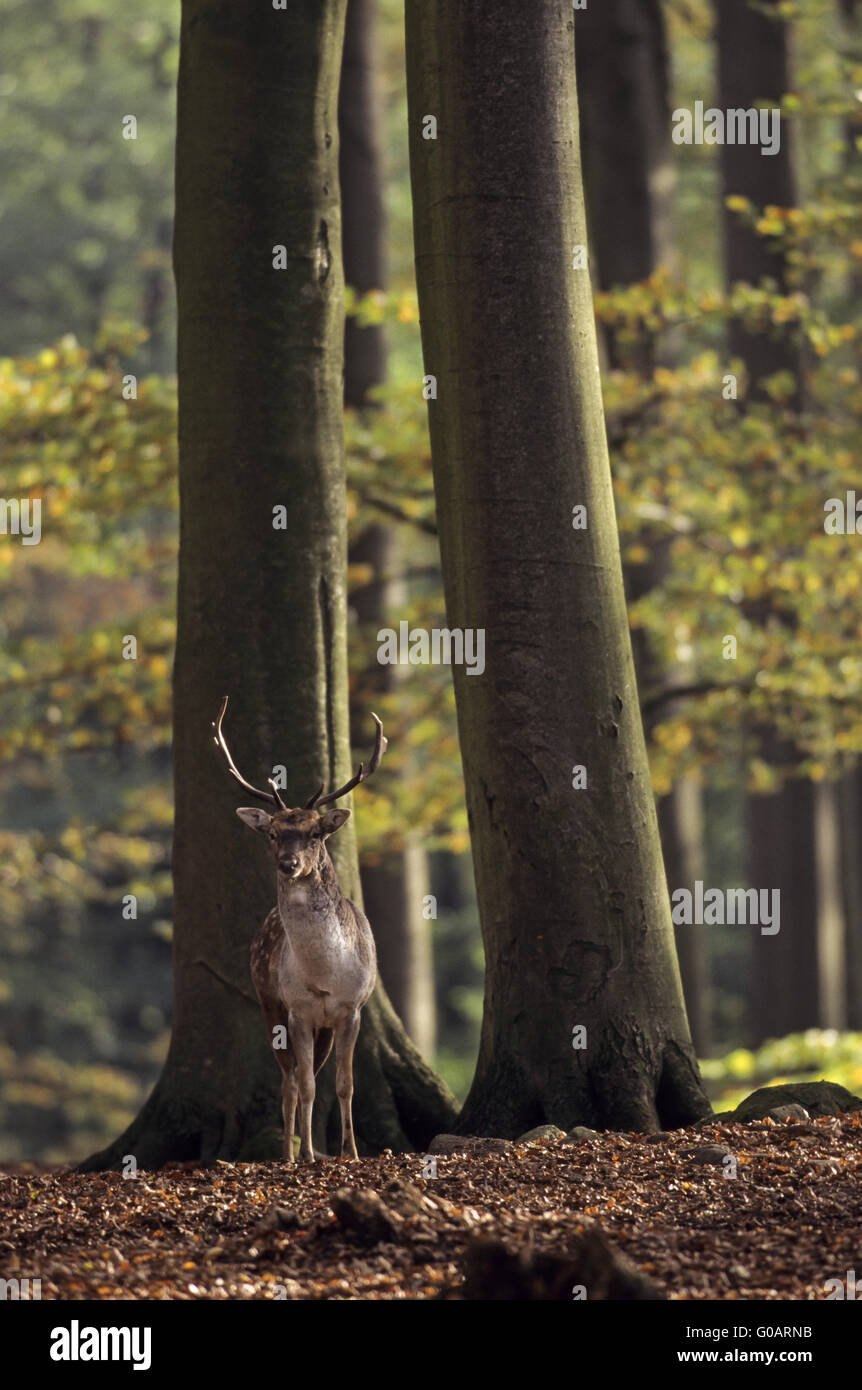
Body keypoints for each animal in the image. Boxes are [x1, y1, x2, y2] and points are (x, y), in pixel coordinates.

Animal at [212, 696, 386, 1162]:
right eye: (273, 833)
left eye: (314, 833)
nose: (288, 864)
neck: (324, 976)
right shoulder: (297, 1010)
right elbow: (306, 1085)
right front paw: (307, 1152)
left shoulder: (351, 1009)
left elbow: (344, 1085)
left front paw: (351, 1152)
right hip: (267, 1001)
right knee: (289, 1081)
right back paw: (290, 1152)